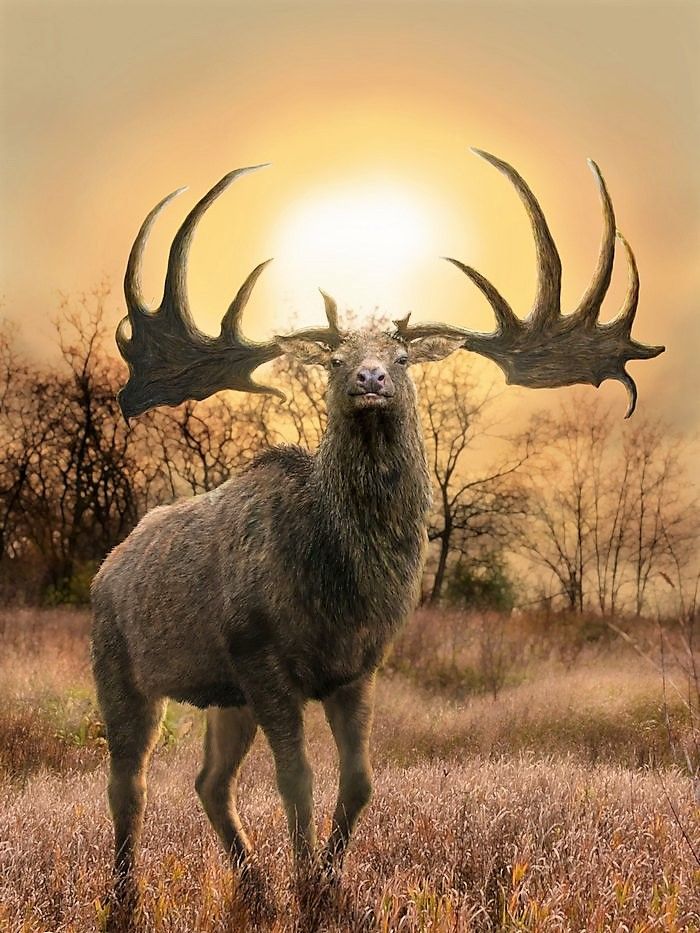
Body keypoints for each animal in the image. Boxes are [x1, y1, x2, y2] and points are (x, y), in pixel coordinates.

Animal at [91, 150, 663, 901]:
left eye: (401, 356)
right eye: (335, 359)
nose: (367, 378)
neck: (342, 587)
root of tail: (106, 566)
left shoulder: (358, 667)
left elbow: (360, 781)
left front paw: (326, 878)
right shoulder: (263, 654)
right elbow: (297, 780)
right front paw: (306, 884)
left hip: (222, 693)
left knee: (208, 782)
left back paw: (253, 883)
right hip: (118, 663)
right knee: (127, 783)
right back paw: (128, 889)